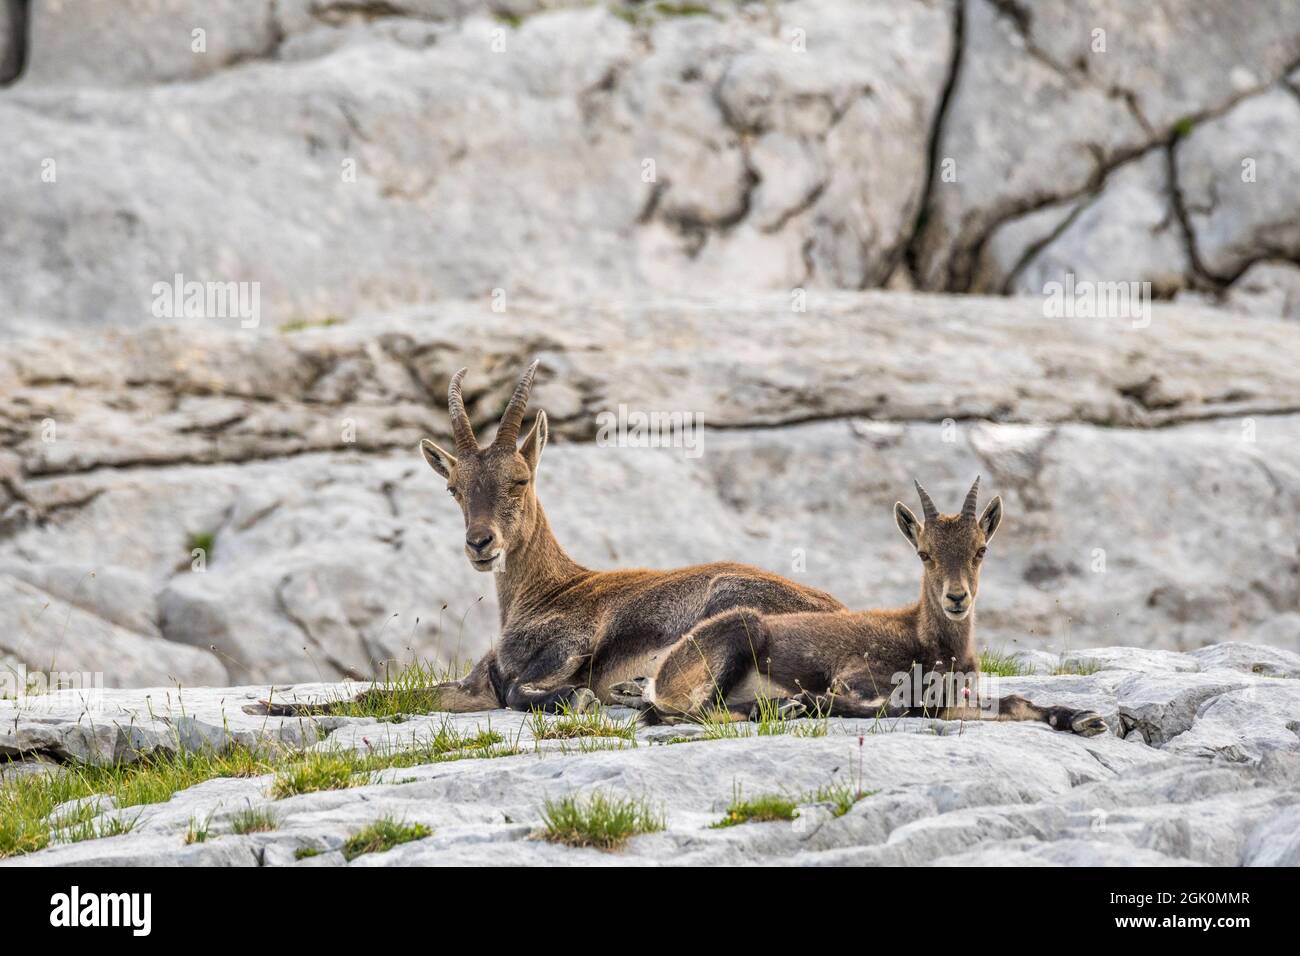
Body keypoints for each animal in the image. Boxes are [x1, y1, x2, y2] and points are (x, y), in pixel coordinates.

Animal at [260, 361, 845, 716]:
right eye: (453, 487)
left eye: (519, 479)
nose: (480, 543)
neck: (543, 590)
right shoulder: (476, 683)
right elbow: (380, 697)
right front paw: (266, 706)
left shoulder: (570, 644)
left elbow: (524, 690)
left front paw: (580, 697)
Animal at [611, 478, 1108, 736]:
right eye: (925, 553)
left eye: (980, 550)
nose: (956, 597)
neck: (930, 644)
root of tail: (660, 675)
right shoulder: (855, 676)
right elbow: (889, 706)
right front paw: (809, 701)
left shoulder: (956, 697)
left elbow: (1013, 701)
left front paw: (1083, 718)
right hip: (740, 633)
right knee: (684, 711)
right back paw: (780, 706)